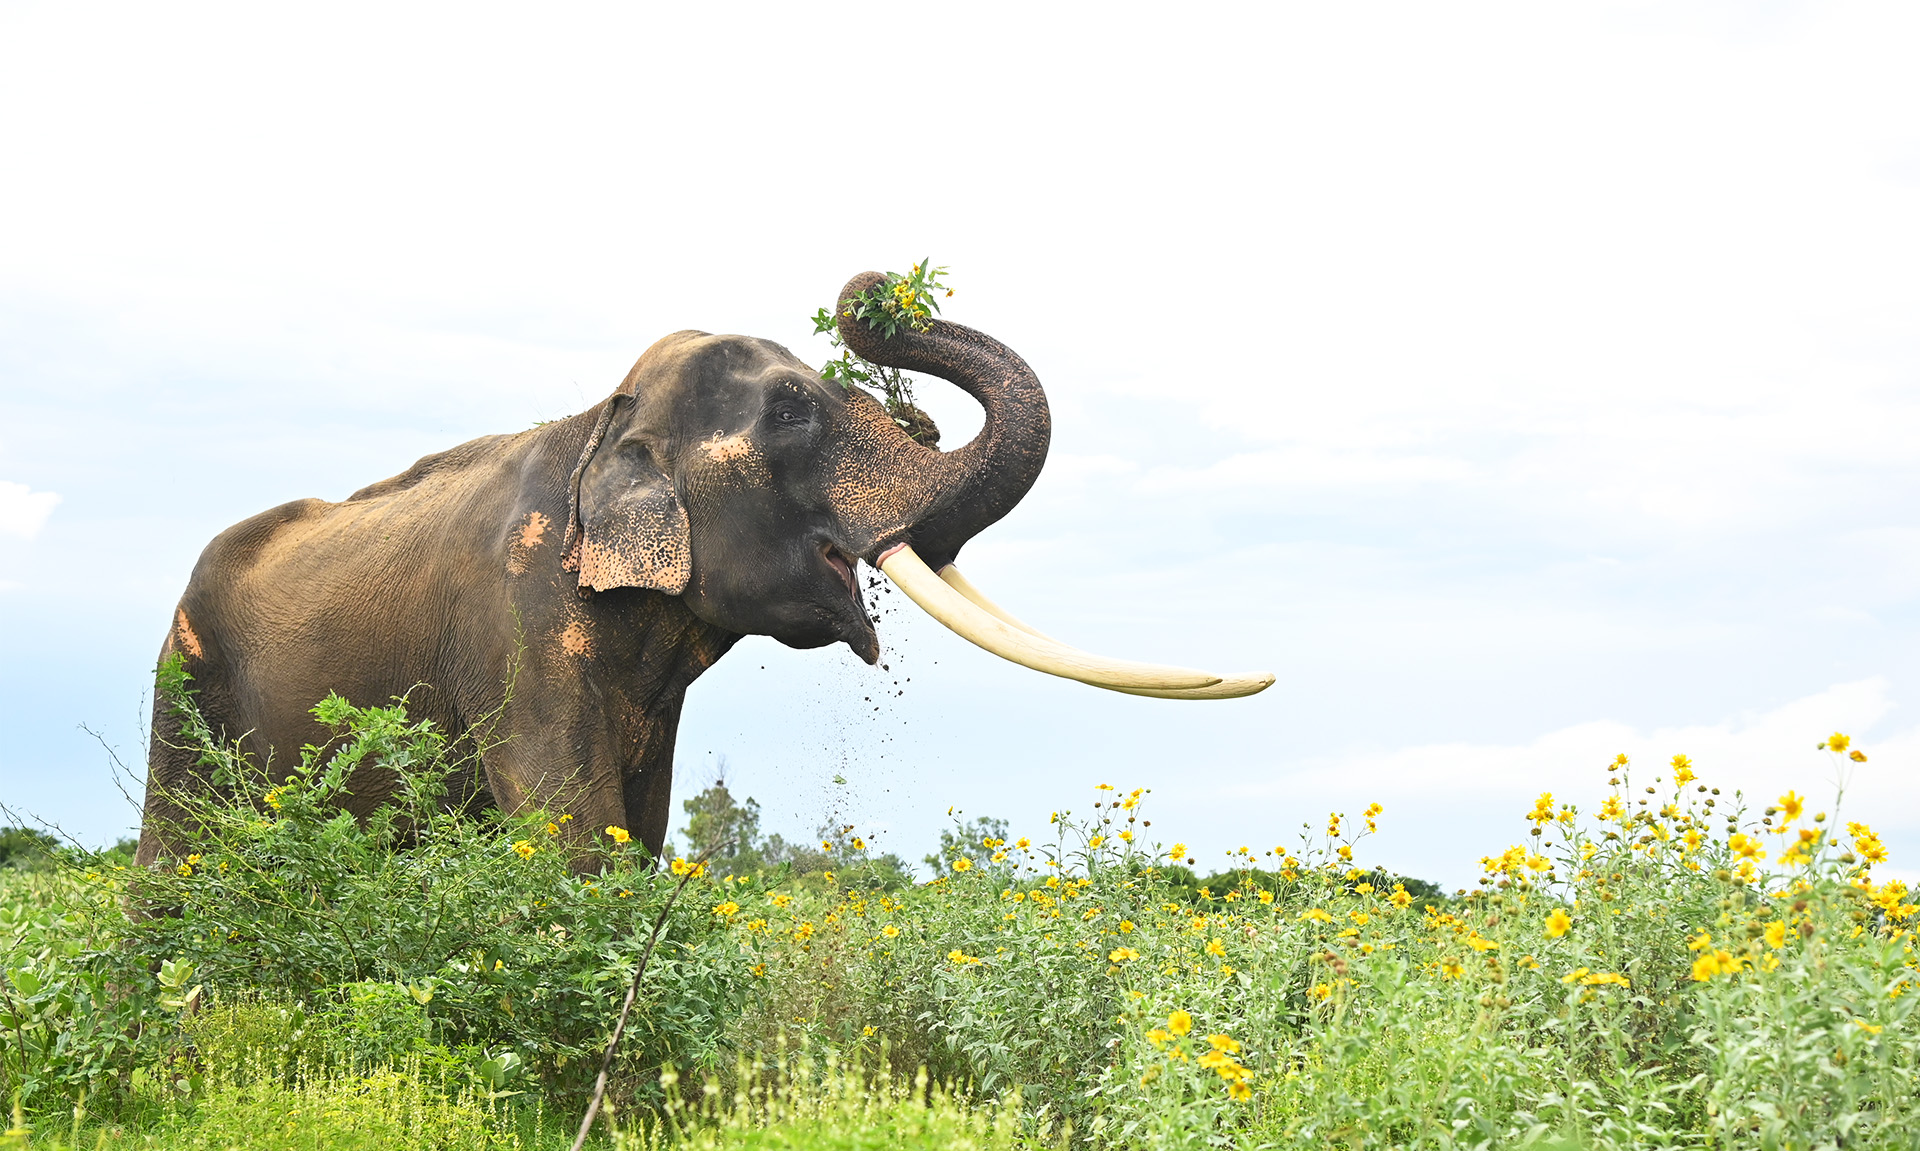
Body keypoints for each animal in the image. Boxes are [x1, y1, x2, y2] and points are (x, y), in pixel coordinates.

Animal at [137, 272, 1270, 868]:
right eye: (793, 412)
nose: (873, 289)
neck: (603, 421)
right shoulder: (515, 622)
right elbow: (574, 833)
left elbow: (637, 825)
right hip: (184, 684)